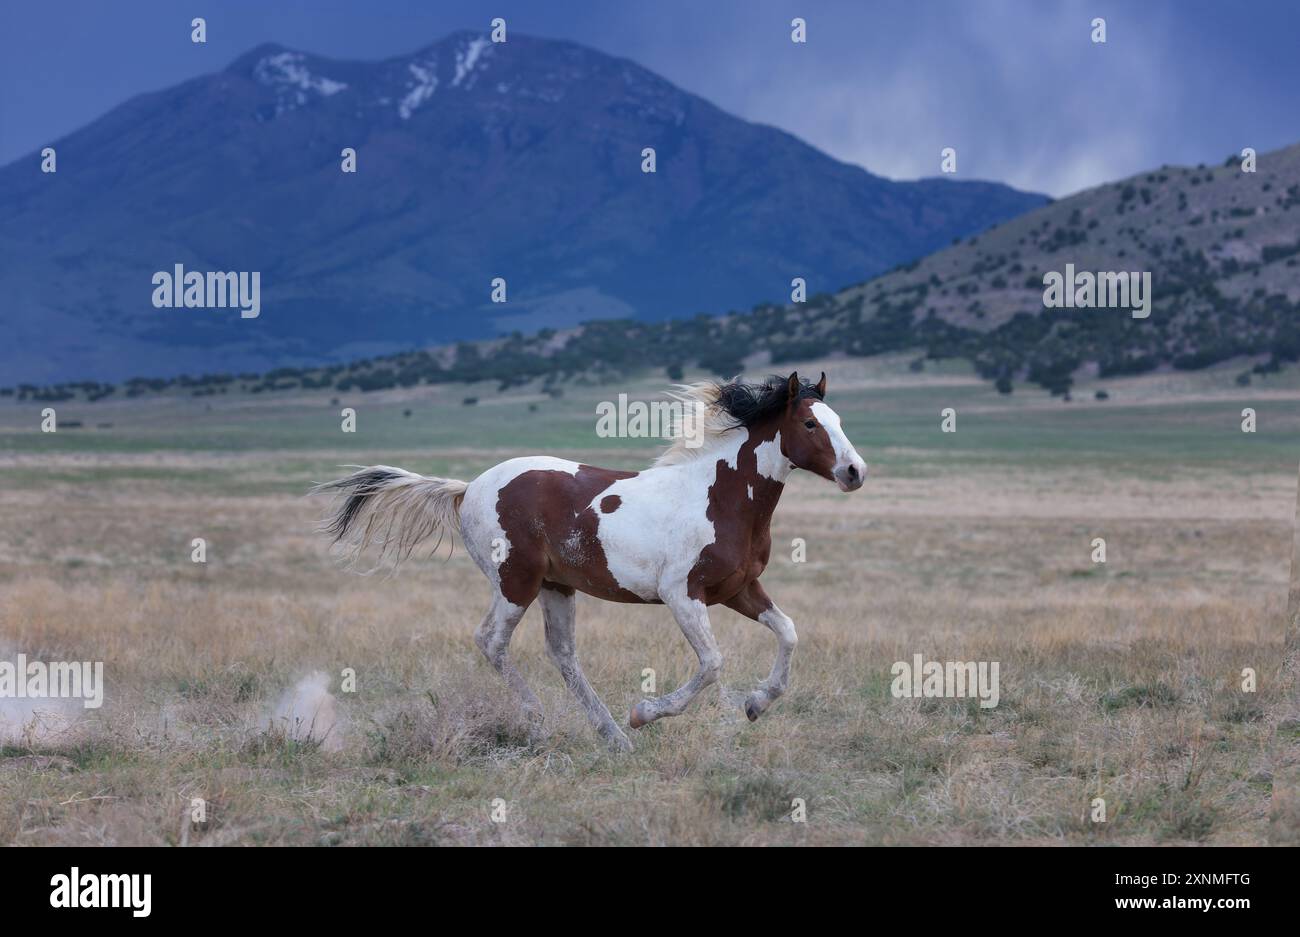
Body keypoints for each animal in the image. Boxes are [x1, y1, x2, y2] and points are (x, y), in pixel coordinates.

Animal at [312, 371, 866, 751]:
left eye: (840, 422)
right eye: (810, 423)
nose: (855, 472)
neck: (720, 496)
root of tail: (468, 488)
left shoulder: (738, 590)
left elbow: (788, 631)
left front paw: (755, 704)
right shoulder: (681, 595)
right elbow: (711, 663)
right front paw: (645, 712)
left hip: (557, 587)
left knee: (562, 654)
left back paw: (611, 736)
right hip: (515, 581)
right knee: (490, 641)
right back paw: (539, 720)